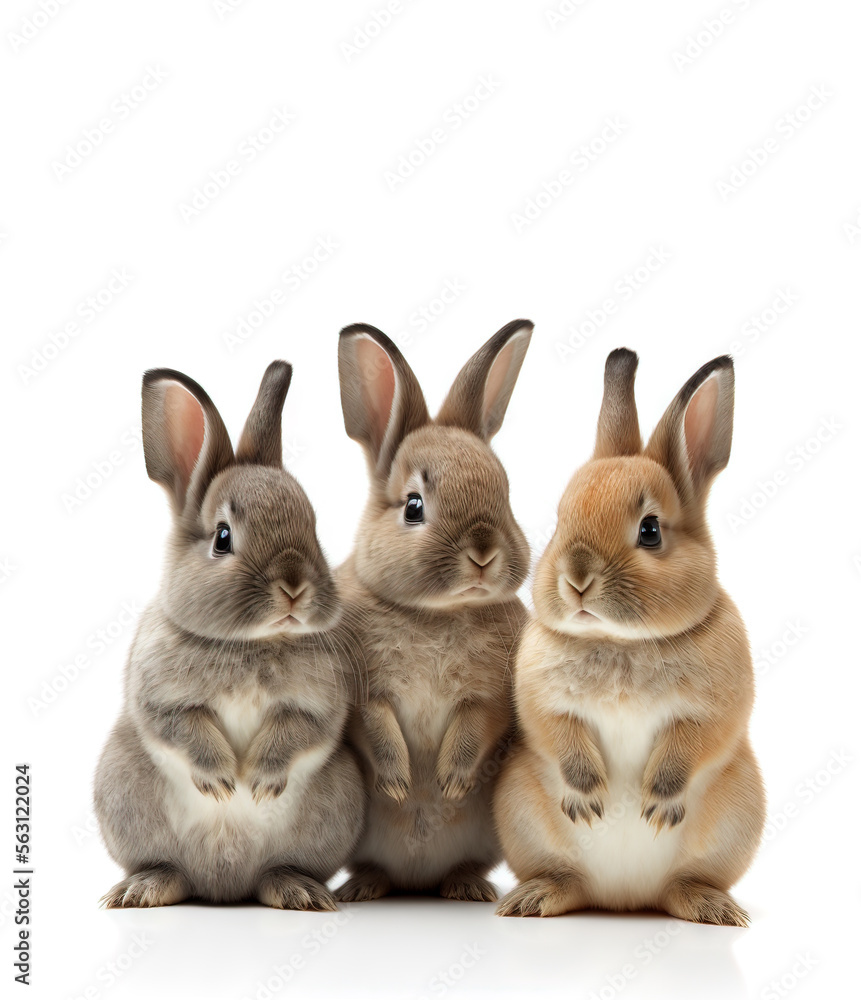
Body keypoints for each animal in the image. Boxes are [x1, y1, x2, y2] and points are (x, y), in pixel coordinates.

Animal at [94, 361, 365, 910]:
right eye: (223, 538)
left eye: (312, 526)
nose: (294, 587)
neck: (251, 644)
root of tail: (224, 887)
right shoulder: (162, 700)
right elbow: (184, 728)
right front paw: (223, 783)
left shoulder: (315, 705)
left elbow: (297, 730)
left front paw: (256, 783)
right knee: (168, 868)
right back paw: (142, 888)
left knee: (278, 871)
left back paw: (299, 891)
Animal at [333, 320, 533, 903]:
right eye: (414, 506)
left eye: (505, 493)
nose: (484, 553)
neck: (436, 613)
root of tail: (415, 879)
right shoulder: (365, 691)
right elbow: (376, 727)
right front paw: (400, 784)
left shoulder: (488, 697)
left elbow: (474, 726)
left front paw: (449, 782)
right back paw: (365, 887)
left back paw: (468, 887)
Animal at [495, 349, 765, 925]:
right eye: (561, 518)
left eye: (650, 530)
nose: (576, 579)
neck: (622, 642)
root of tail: (624, 899)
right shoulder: (544, 705)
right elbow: (559, 736)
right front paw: (589, 799)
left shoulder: (714, 711)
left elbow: (692, 744)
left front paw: (656, 803)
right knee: (567, 882)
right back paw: (532, 898)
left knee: (685, 885)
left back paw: (713, 908)